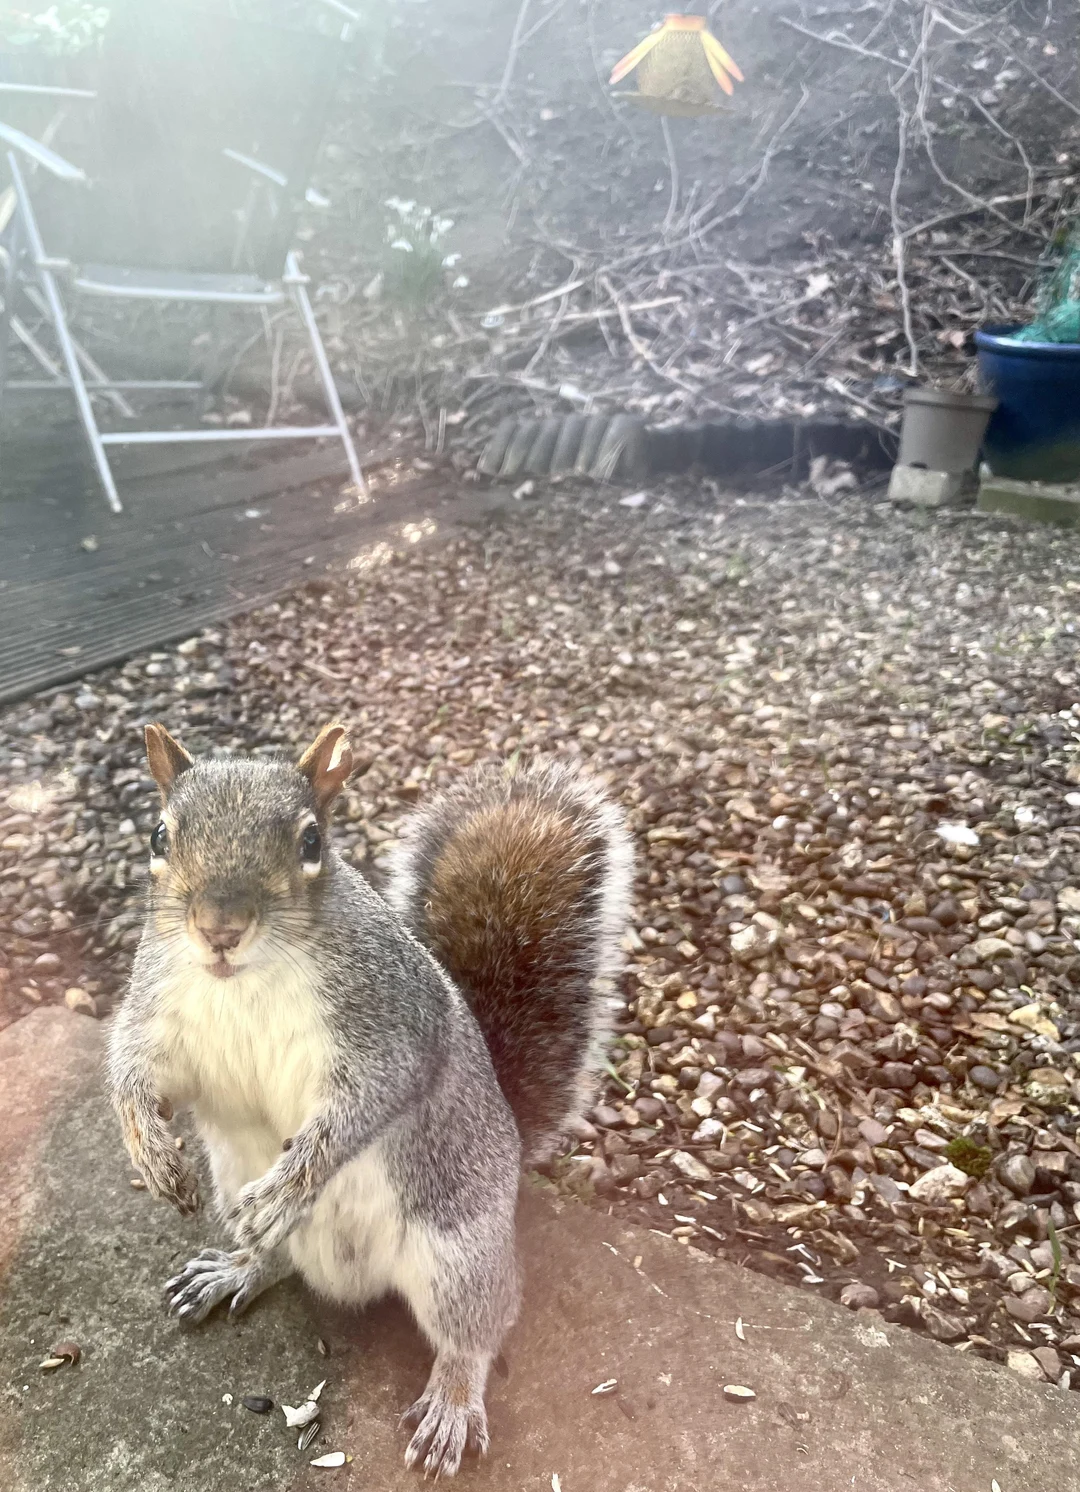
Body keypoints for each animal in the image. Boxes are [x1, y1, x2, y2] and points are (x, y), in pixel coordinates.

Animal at [106, 721, 634, 1478]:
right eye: (158, 835)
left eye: (310, 842)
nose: (218, 926)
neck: (245, 978)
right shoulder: (159, 1011)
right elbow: (136, 1072)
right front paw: (150, 1151)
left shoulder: (392, 1028)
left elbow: (364, 1106)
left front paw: (292, 1184)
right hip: (237, 1181)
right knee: (274, 1259)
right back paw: (236, 1267)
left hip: (458, 1253)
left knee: (478, 1327)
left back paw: (451, 1402)